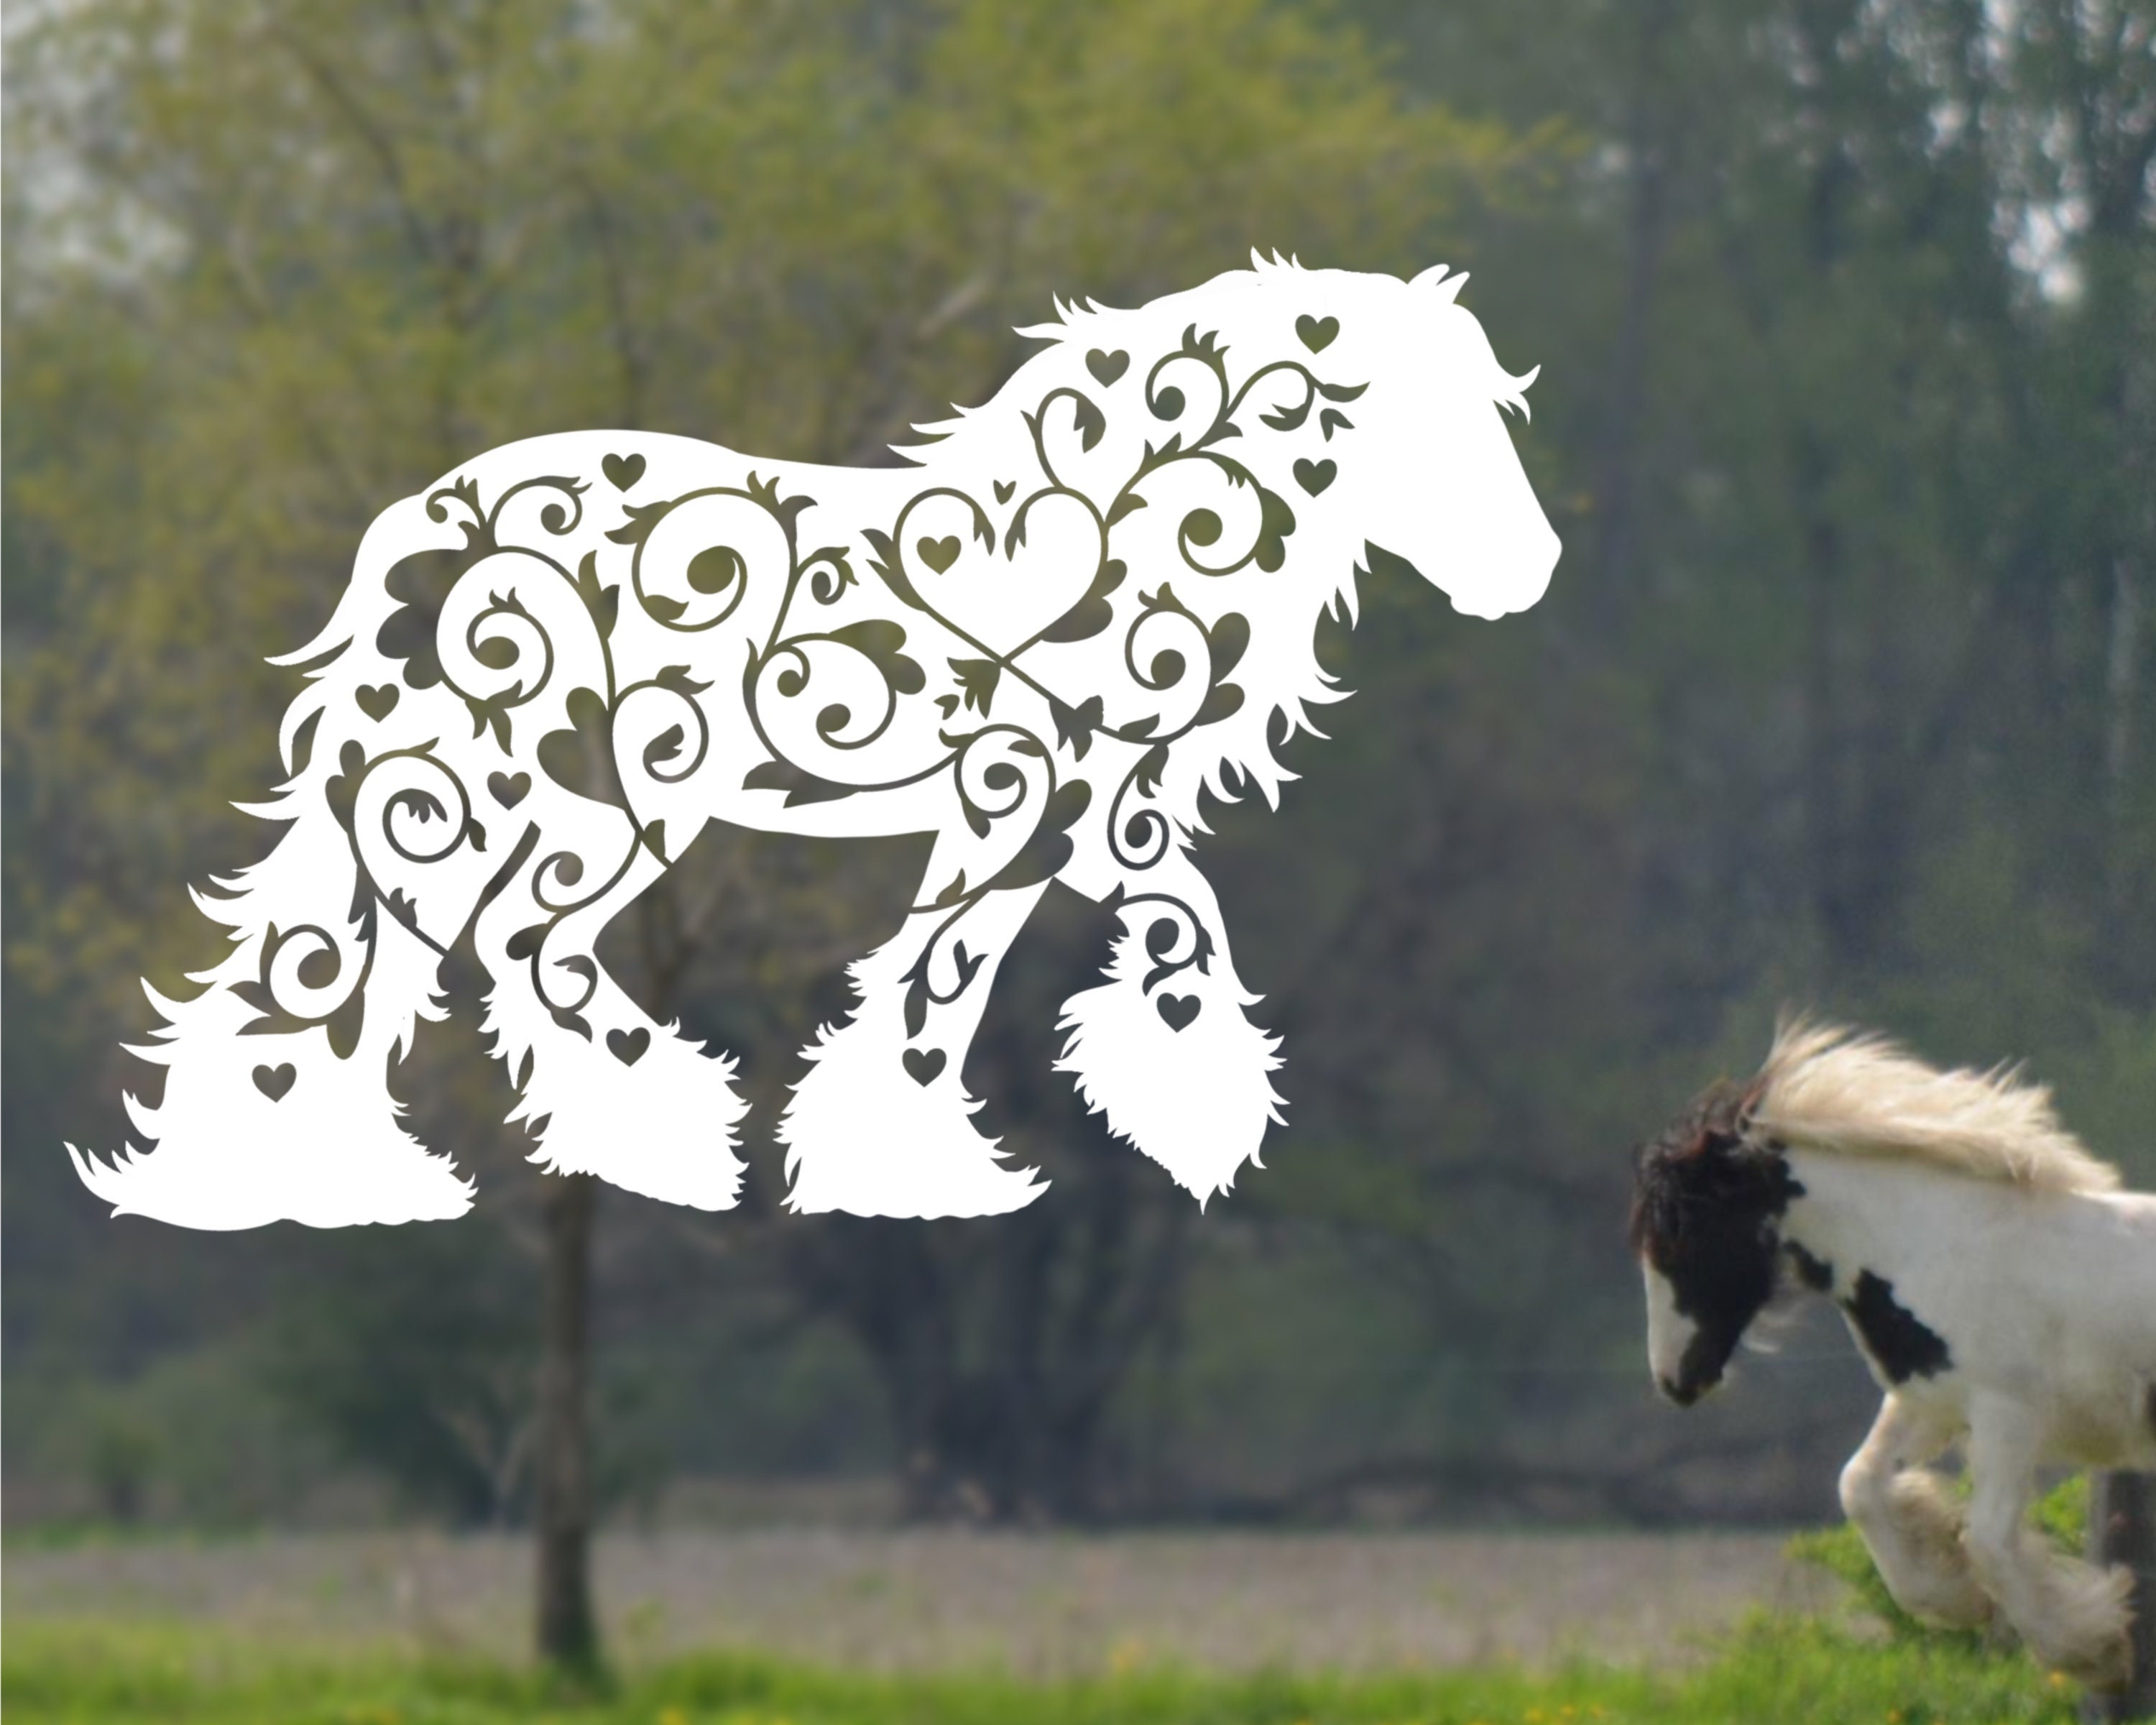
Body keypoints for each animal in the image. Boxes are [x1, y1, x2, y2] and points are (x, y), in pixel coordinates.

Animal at [68, 255, 1560, 1229]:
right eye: (1441, 425)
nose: (1534, 572)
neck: (1113, 540)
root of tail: (423, 526)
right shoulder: (1018, 815)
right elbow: (937, 995)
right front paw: (914, 1171)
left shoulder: (1094, 822)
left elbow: (1178, 932)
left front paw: (1187, 1106)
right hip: (567, 802)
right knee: (449, 961)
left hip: (522, 807)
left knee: (425, 964)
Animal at [1631, 1018, 2156, 1689]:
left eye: (1681, 1234)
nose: (1674, 1379)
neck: (1938, 1244)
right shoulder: (1927, 1401)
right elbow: (1859, 1484)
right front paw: (1951, 1597)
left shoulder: (2008, 1416)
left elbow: (1988, 1540)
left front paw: (2093, 1647)